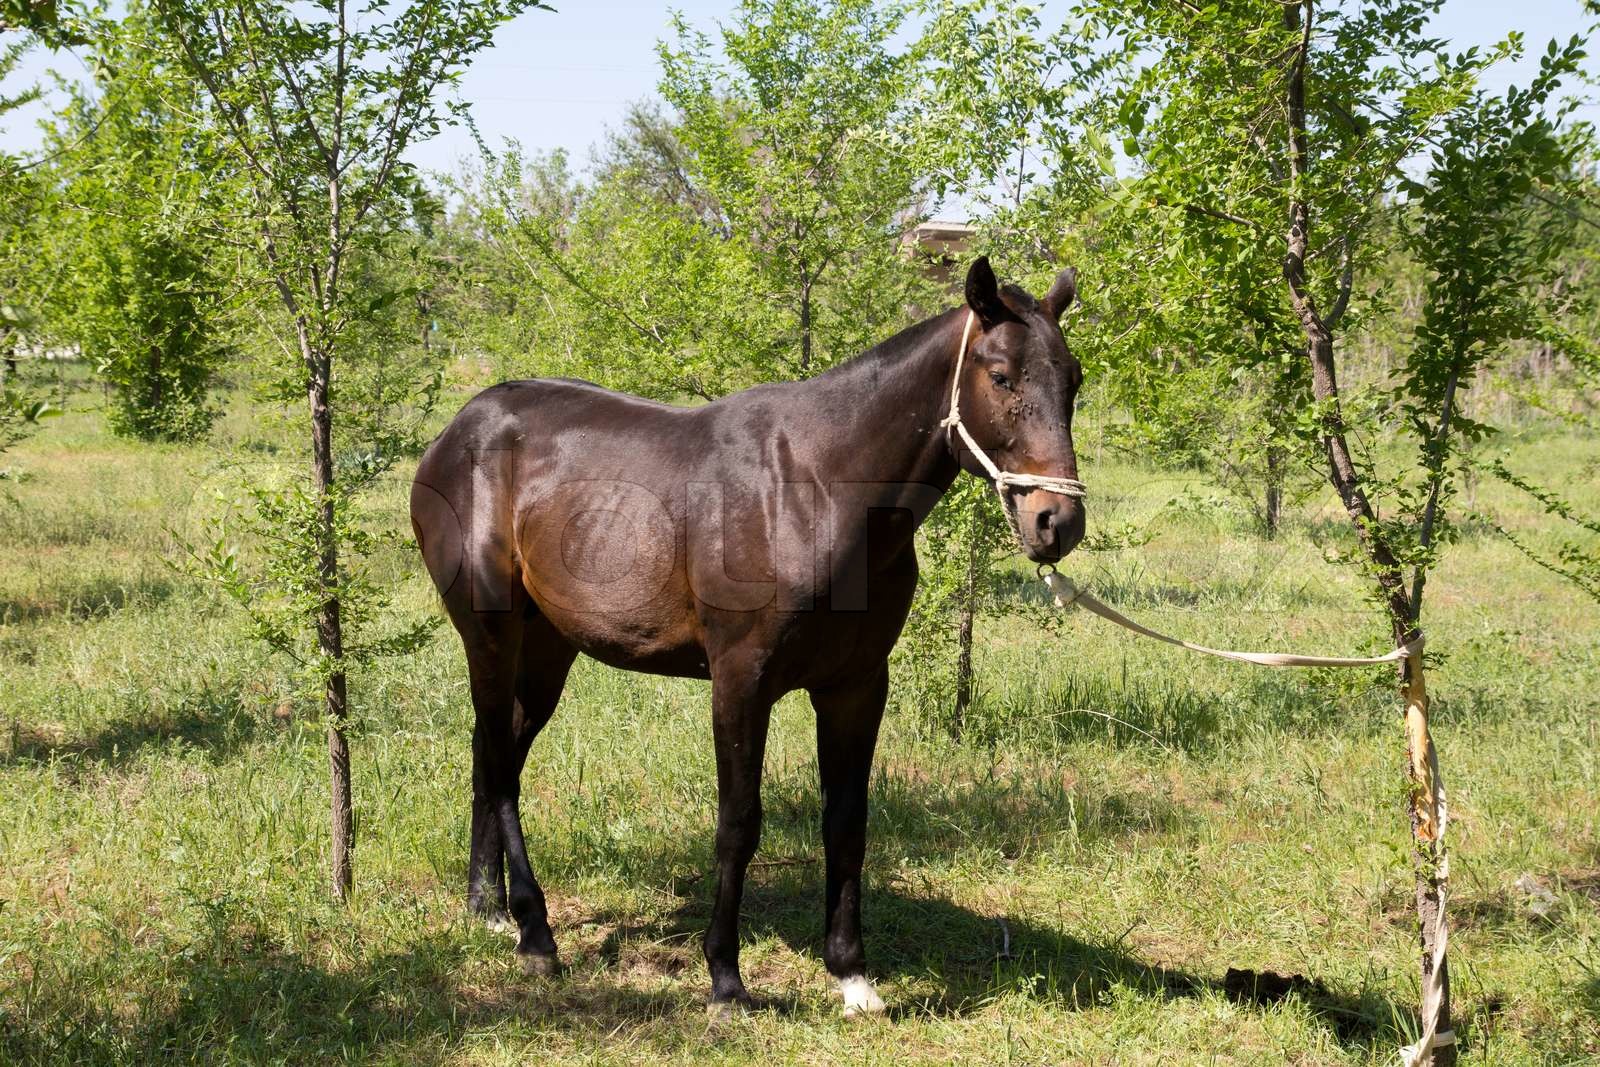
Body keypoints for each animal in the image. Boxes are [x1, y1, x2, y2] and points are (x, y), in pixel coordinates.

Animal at [409, 256, 1086, 1018]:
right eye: (1000, 376)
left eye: (1073, 379)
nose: (1057, 521)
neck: (817, 487)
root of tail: (456, 432)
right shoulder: (741, 680)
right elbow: (739, 823)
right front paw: (726, 979)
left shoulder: (855, 685)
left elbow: (846, 821)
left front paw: (851, 974)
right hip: (490, 636)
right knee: (499, 764)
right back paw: (535, 934)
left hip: (549, 648)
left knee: (493, 753)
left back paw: (489, 906)